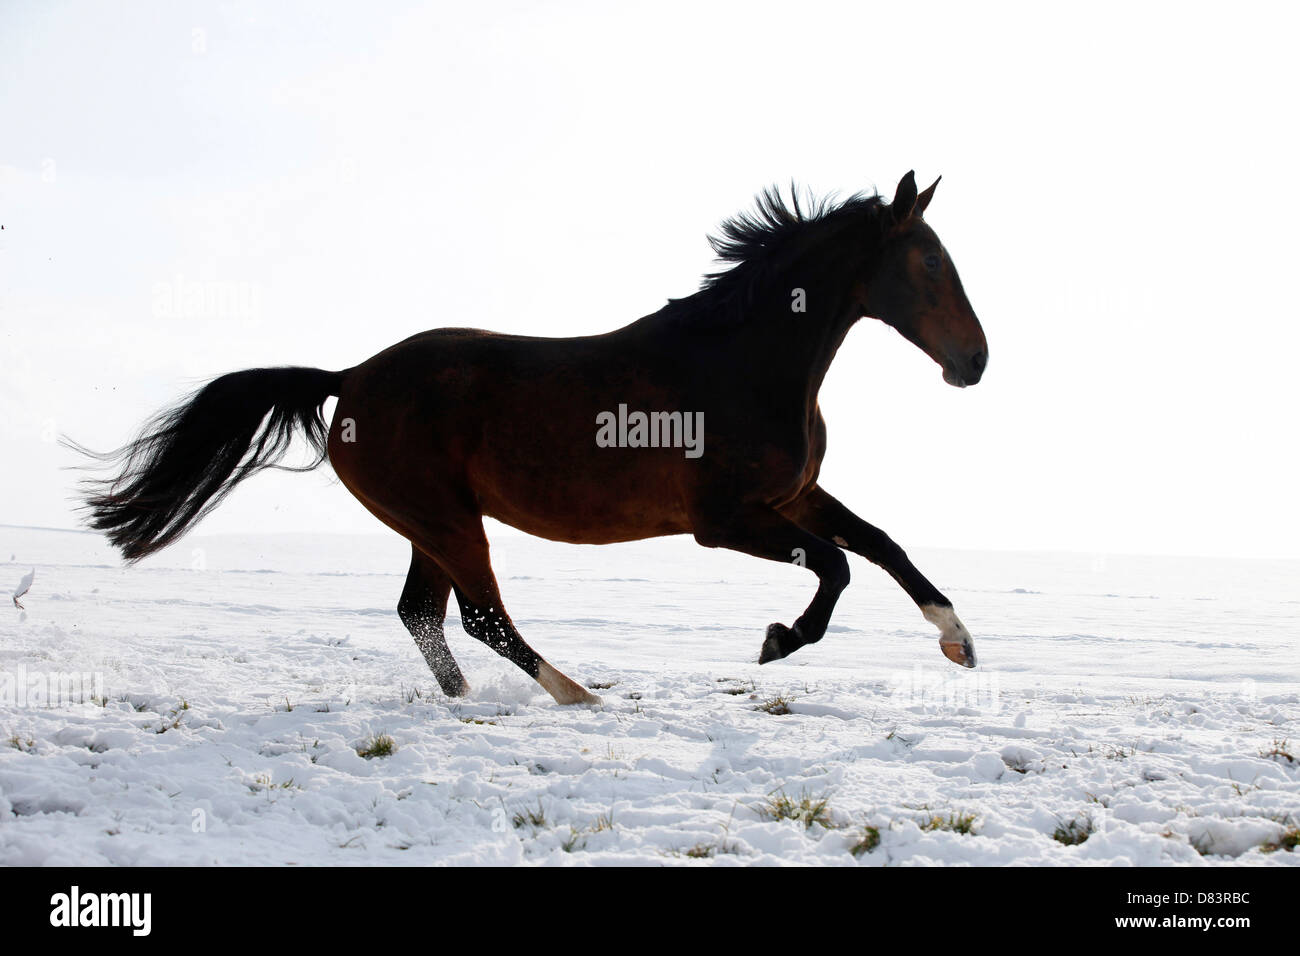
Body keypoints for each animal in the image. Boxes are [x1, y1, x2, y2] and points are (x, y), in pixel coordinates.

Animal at [72, 170, 988, 706]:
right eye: (929, 263)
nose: (975, 362)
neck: (743, 361)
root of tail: (350, 376)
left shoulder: (793, 494)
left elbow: (882, 543)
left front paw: (959, 641)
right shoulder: (724, 520)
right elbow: (835, 565)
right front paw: (777, 642)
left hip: (430, 524)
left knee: (423, 613)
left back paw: (469, 701)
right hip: (444, 519)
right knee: (482, 616)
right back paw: (575, 693)